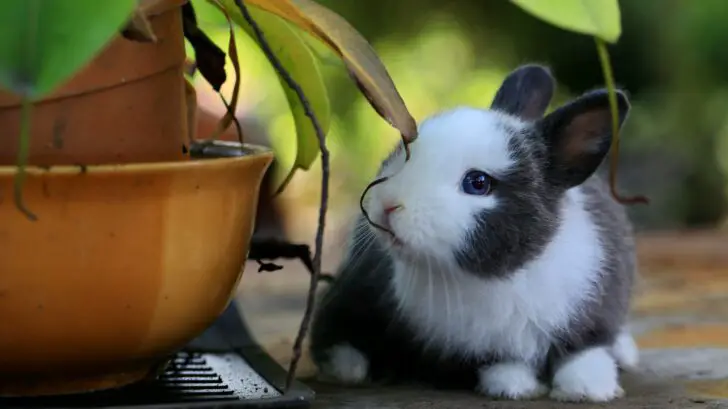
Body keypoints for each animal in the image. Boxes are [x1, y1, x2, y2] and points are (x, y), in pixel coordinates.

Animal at [309, 64, 639, 403]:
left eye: (478, 183)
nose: (387, 204)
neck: (500, 278)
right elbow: (501, 363)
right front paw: (515, 387)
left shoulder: (595, 313)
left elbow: (584, 352)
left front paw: (588, 389)